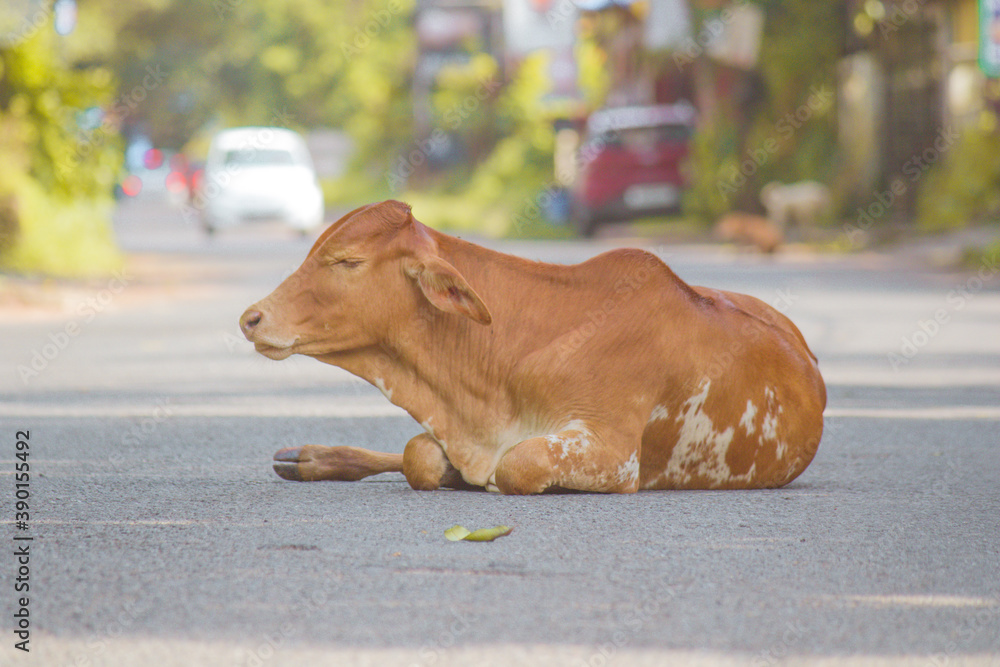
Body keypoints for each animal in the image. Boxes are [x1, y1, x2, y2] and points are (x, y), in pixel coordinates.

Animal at [239, 200, 826, 495]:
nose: (252, 318)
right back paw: (308, 458)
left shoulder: (616, 457)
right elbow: (417, 455)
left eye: (348, 260)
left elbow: (515, 466)